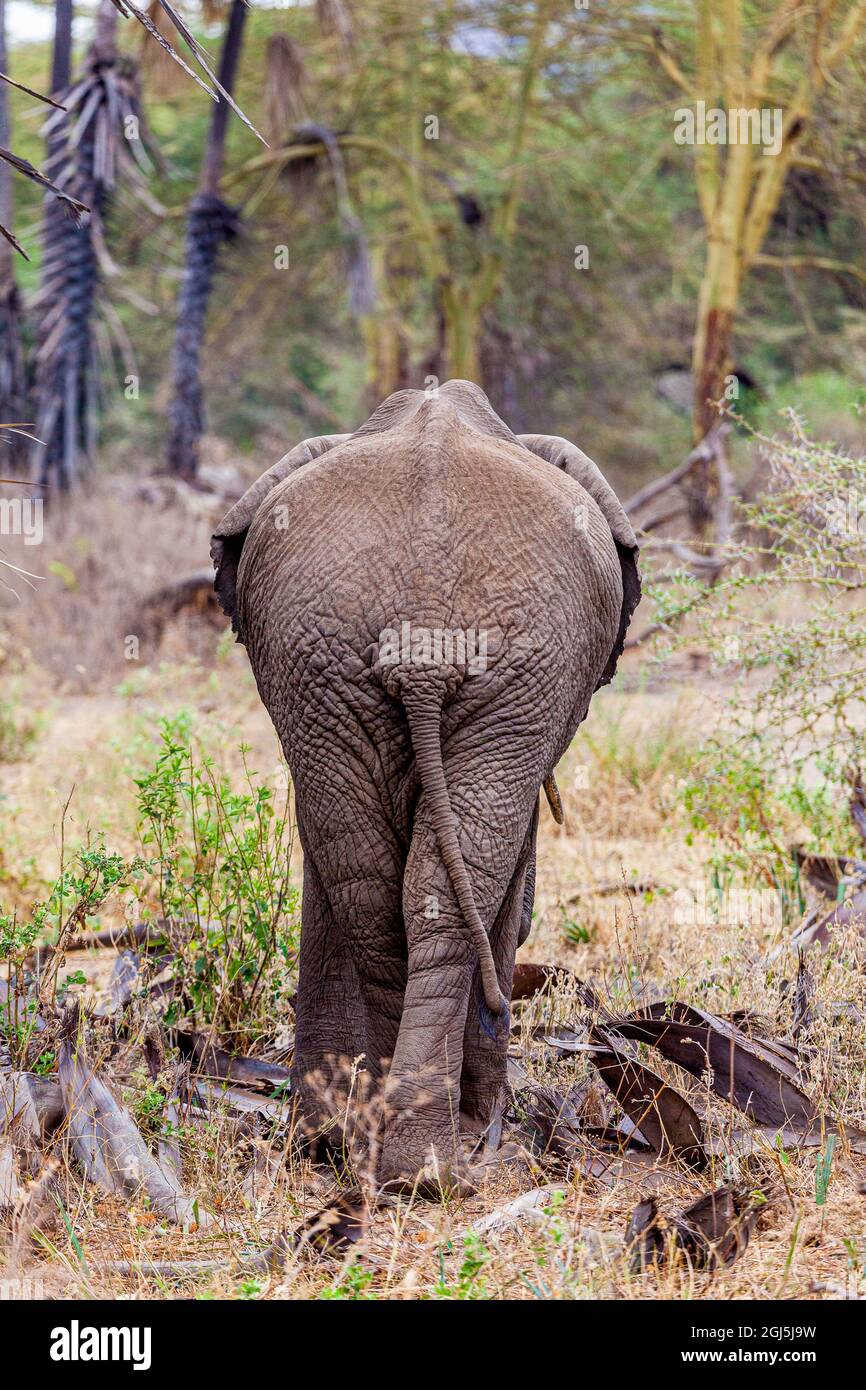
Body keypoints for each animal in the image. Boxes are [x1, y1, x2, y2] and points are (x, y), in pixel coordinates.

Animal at [211, 380, 639, 1187]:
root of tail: (424, 651)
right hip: (499, 670)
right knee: (450, 879)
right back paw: (438, 1151)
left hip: (330, 661)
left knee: (380, 888)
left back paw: (376, 1149)